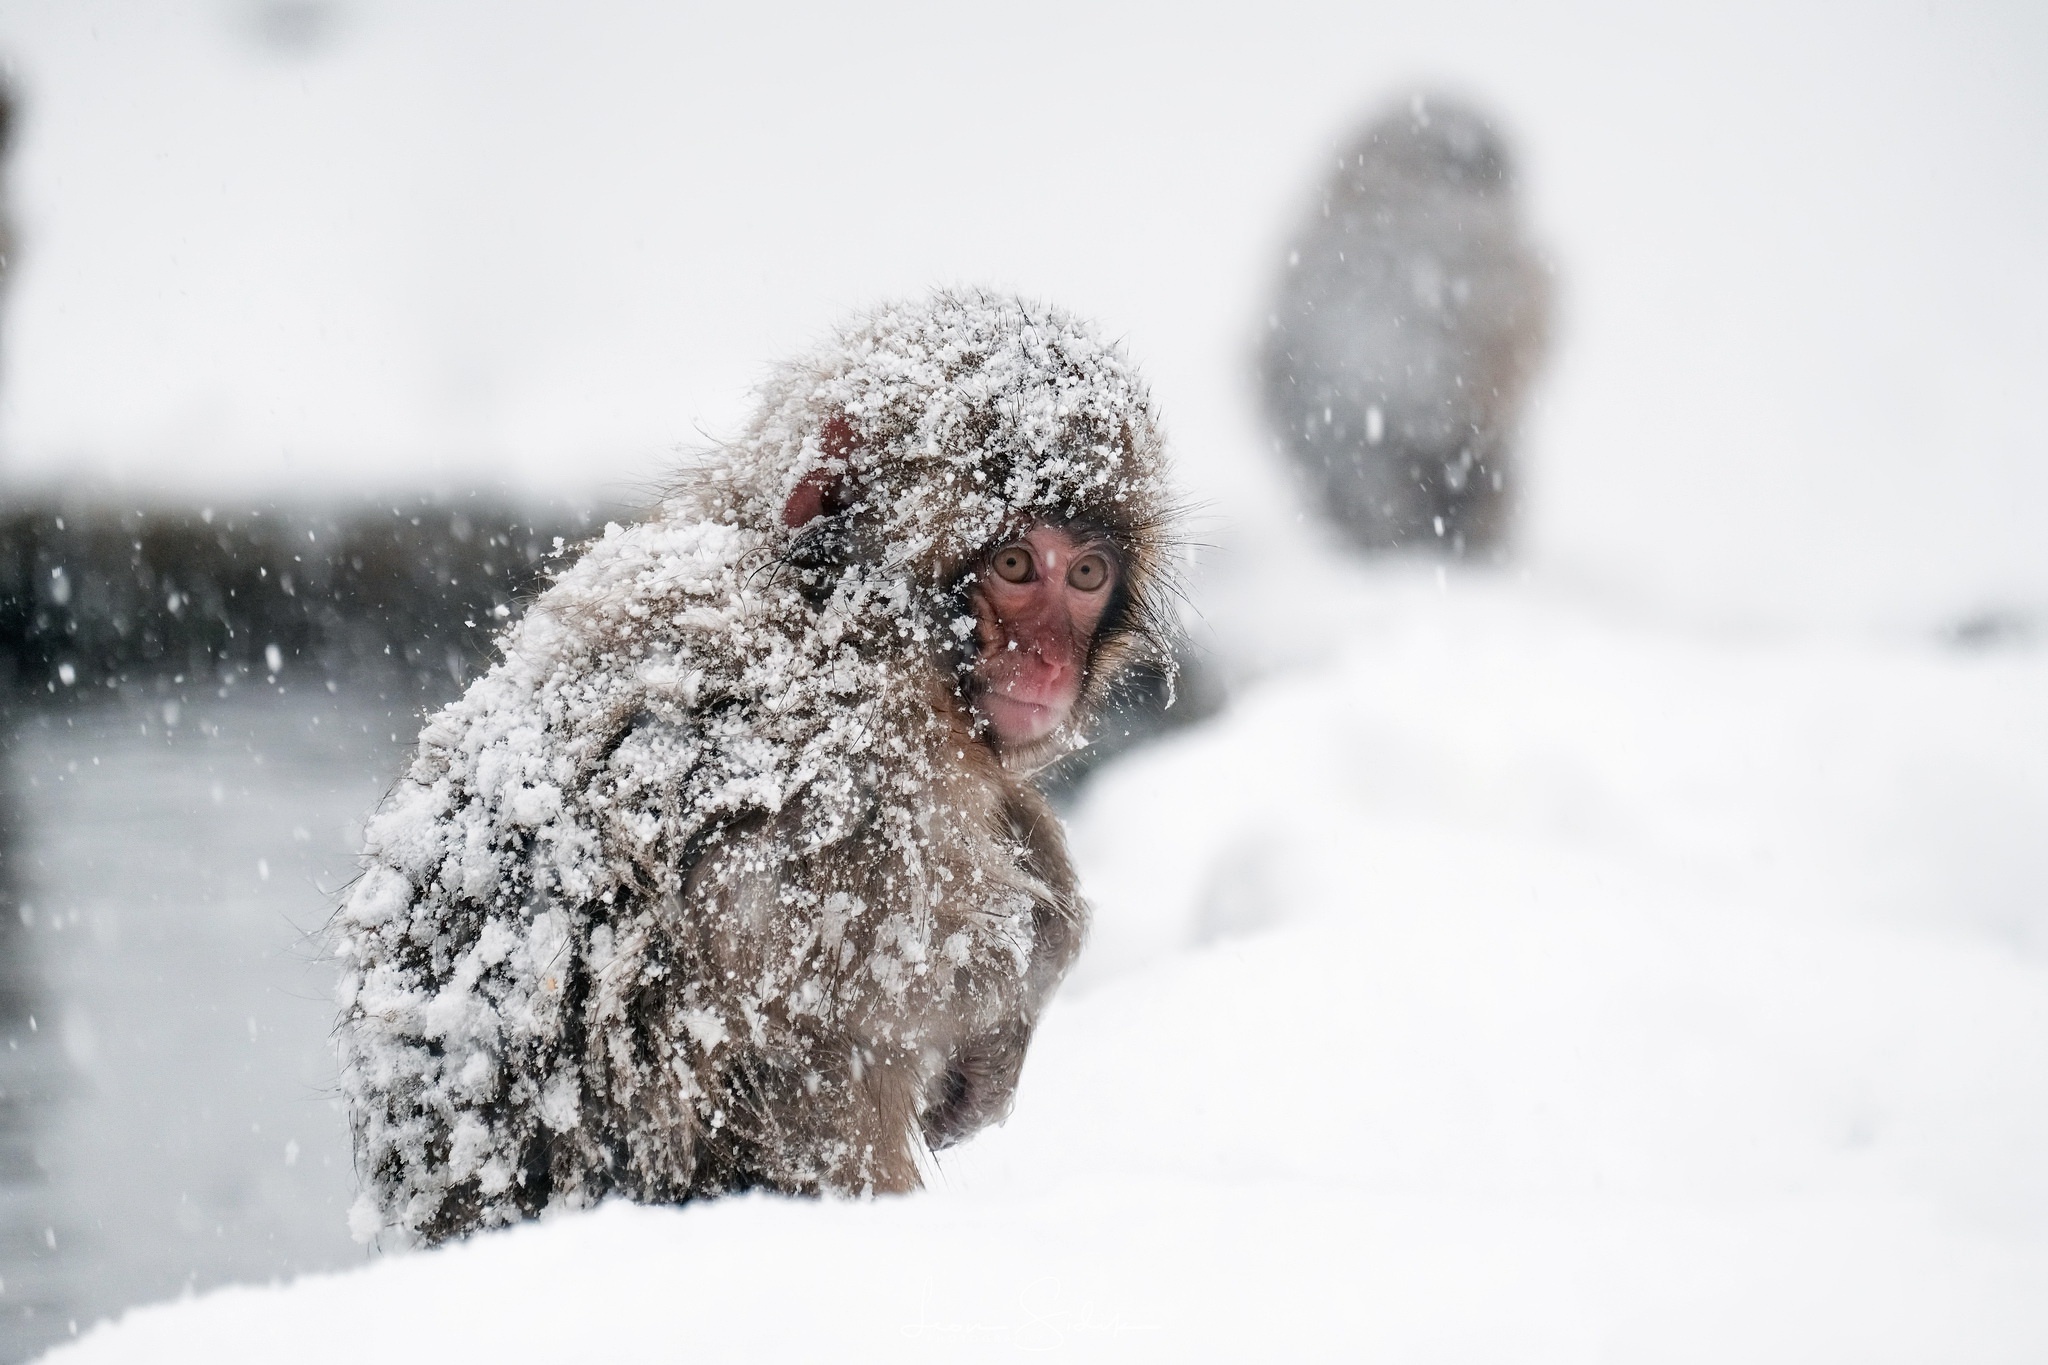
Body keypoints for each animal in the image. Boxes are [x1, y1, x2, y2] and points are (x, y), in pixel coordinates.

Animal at [333, 290, 1181, 1245]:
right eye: (1013, 563)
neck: (828, 599)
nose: (1047, 665)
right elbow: (890, 969)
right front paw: (1043, 939)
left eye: (1086, 574)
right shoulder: (857, 756)